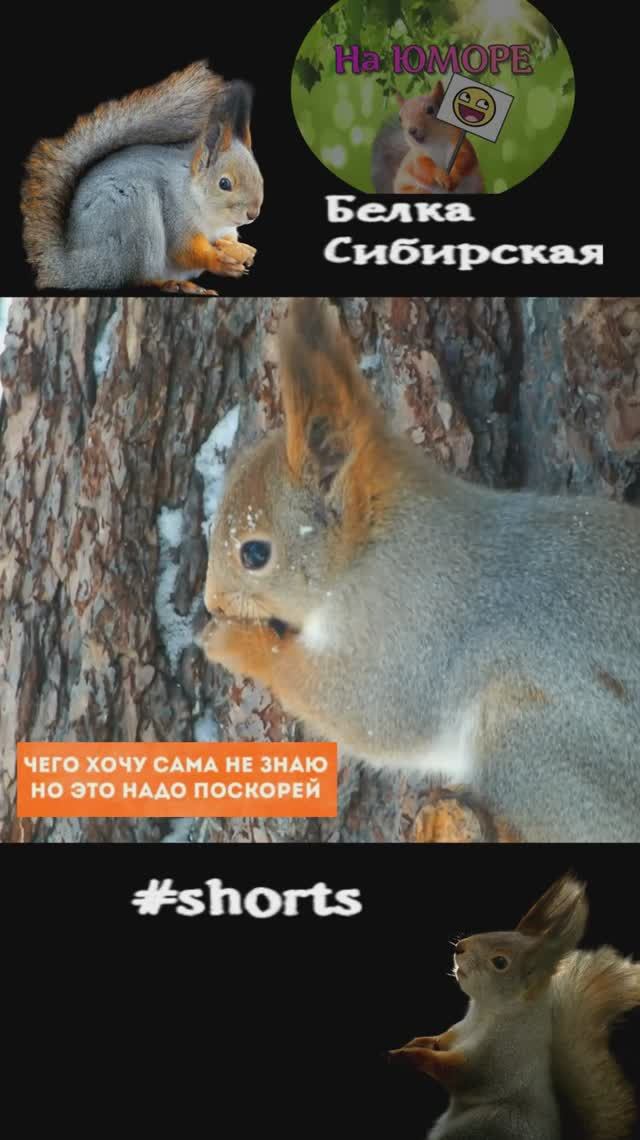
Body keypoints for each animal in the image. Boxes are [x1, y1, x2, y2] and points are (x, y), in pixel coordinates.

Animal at [21, 61, 263, 294]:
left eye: (260, 179)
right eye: (224, 183)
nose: (252, 214)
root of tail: (72, 266)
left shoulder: (226, 230)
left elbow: (228, 240)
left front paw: (241, 250)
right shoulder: (176, 215)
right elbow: (184, 250)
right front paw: (220, 262)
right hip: (135, 217)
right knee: (138, 278)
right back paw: (174, 285)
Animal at [200, 298, 640, 843]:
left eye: (255, 554)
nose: (212, 601)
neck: (370, 556)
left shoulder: (409, 637)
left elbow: (360, 708)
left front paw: (236, 644)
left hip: (533, 742)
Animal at [389, 875, 640, 1140]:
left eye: (500, 962)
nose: (460, 947)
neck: (486, 1012)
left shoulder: (498, 1056)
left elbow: (459, 1073)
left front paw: (409, 1055)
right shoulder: (460, 1030)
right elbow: (441, 1041)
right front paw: (417, 1042)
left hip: (487, 1123)